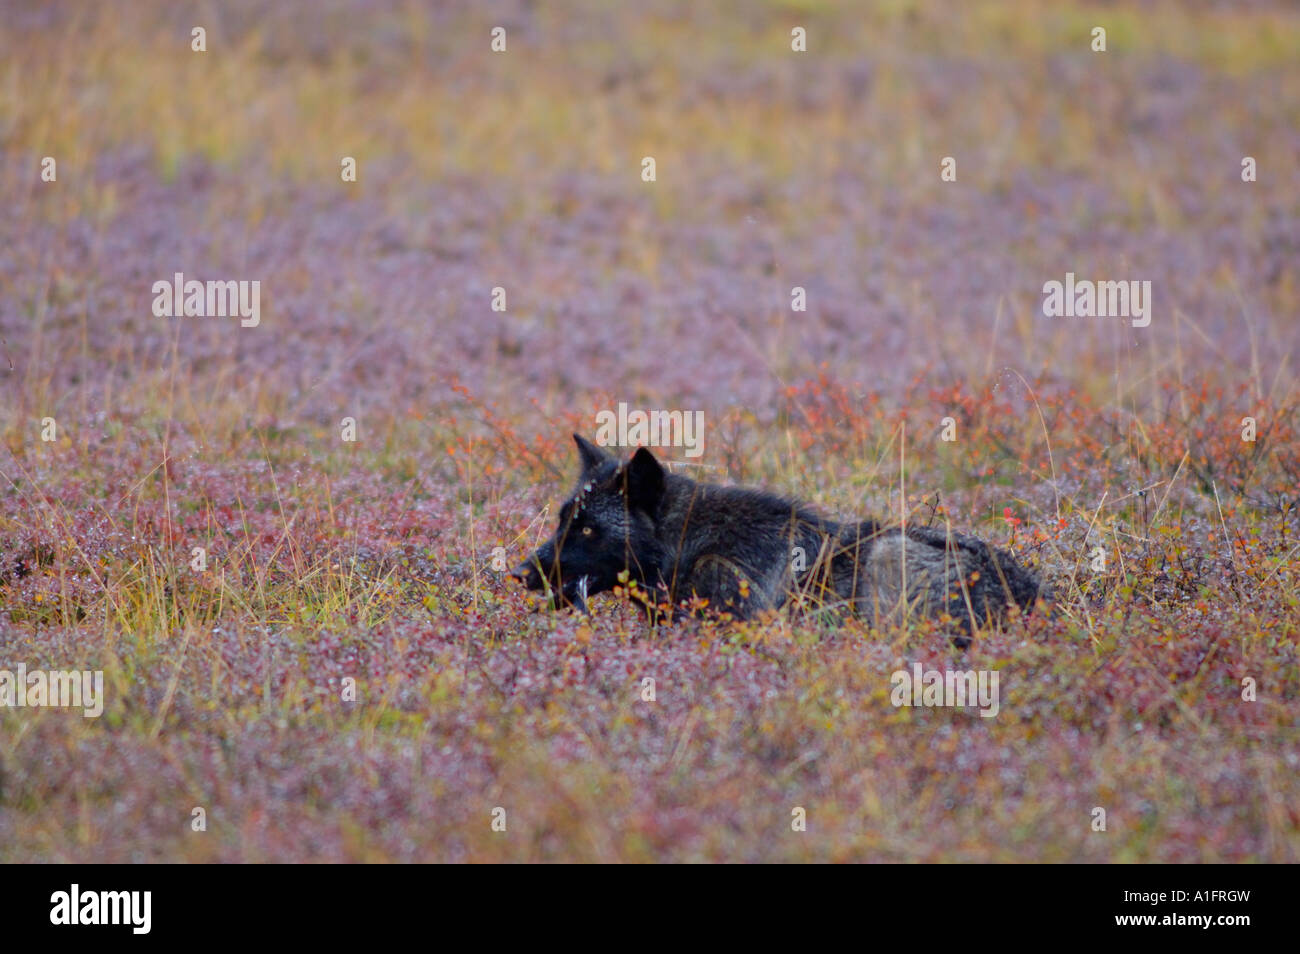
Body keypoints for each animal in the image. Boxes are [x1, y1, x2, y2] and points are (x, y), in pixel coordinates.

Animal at [511, 435, 1048, 643]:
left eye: (588, 529)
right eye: (562, 521)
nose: (519, 574)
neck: (686, 548)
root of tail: (1032, 601)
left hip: (888, 554)